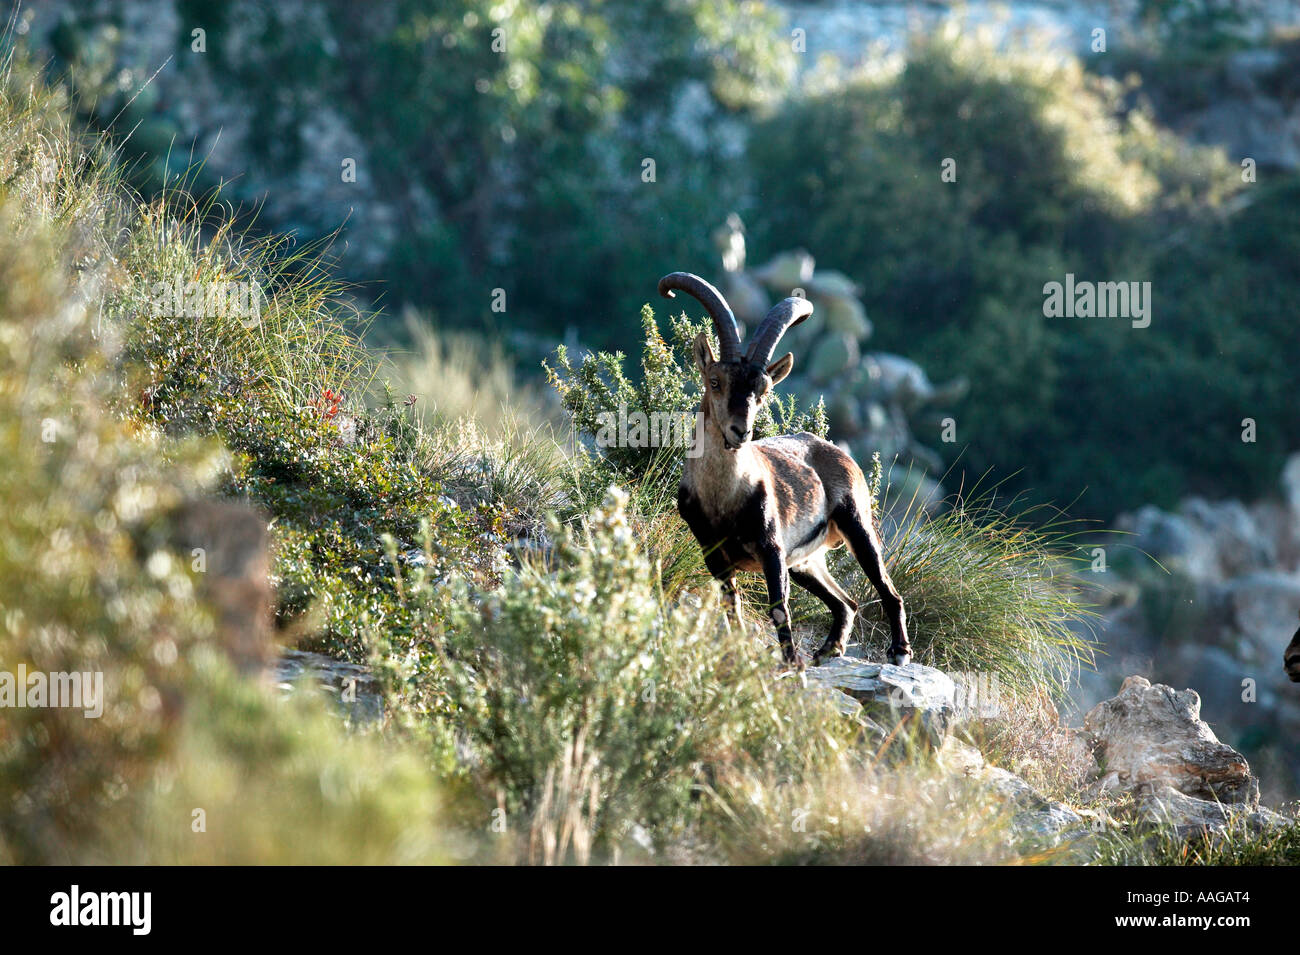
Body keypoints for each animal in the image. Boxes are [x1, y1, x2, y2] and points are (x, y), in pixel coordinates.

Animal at [660, 271, 912, 669]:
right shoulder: (713, 553)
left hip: (856, 524)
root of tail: (838, 452)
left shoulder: (771, 549)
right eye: (716, 382)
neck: (722, 497)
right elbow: (731, 606)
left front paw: (792, 666)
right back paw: (829, 649)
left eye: (763, 391)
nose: (741, 431)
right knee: (847, 602)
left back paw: (898, 650)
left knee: (886, 588)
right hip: (805, 561)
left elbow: (780, 609)